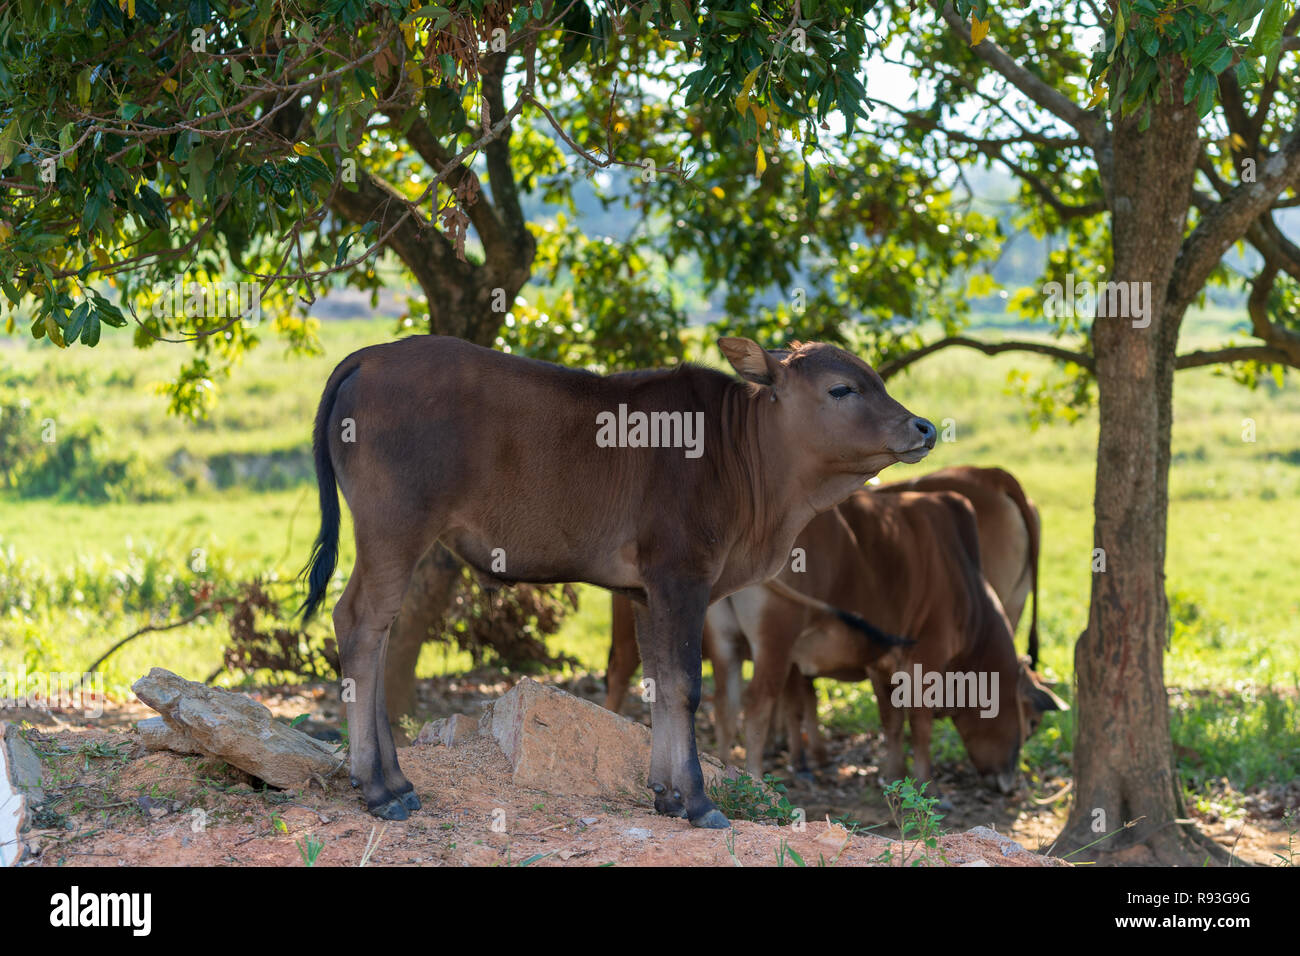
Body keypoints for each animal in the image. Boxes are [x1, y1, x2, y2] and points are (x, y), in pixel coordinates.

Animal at [300, 335, 935, 825]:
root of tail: (371, 356)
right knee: (358, 624)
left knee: (379, 633)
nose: (924, 427)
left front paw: (668, 794)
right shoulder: (682, 576)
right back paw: (379, 788)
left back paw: (393, 779)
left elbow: (658, 684)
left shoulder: (646, 592)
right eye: (842, 389)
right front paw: (698, 801)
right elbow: (686, 685)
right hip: (394, 527)